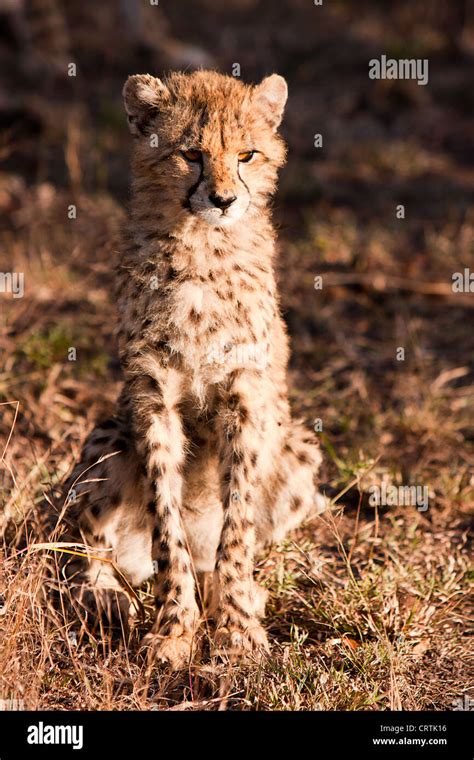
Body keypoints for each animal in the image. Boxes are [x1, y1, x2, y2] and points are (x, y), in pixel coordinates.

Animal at [60, 70, 324, 669]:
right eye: (191, 155)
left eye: (247, 154)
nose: (223, 200)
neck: (202, 243)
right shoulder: (152, 396)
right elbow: (166, 522)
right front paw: (176, 628)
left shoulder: (245, 397)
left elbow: (238, 525)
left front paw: (236, 626)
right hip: (108, 437)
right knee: (95, 553)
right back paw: (108, 597)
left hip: (298, 452)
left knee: (224, 551)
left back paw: (238, 590)